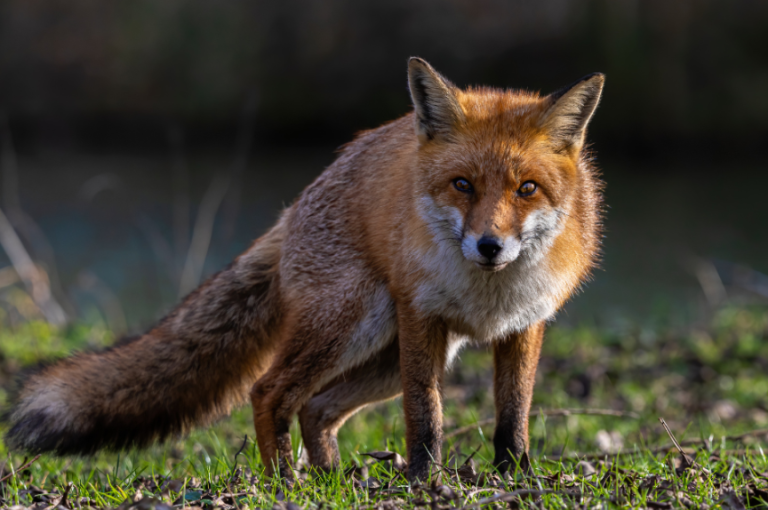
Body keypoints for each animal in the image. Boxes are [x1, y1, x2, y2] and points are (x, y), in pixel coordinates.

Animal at [5, 58, 604, 483]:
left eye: (527, 189)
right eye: (462, 185)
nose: (489, 246)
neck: (487, 295)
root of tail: (293, 207)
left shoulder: (525, 325)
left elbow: (513, 415)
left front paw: (515, 477)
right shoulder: (421, 317)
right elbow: (425, 414)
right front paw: (425, 480)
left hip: (385, 356)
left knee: (316, 407)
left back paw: (333, 478)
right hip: (356, 326)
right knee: (270, 392)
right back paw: (284, 481)